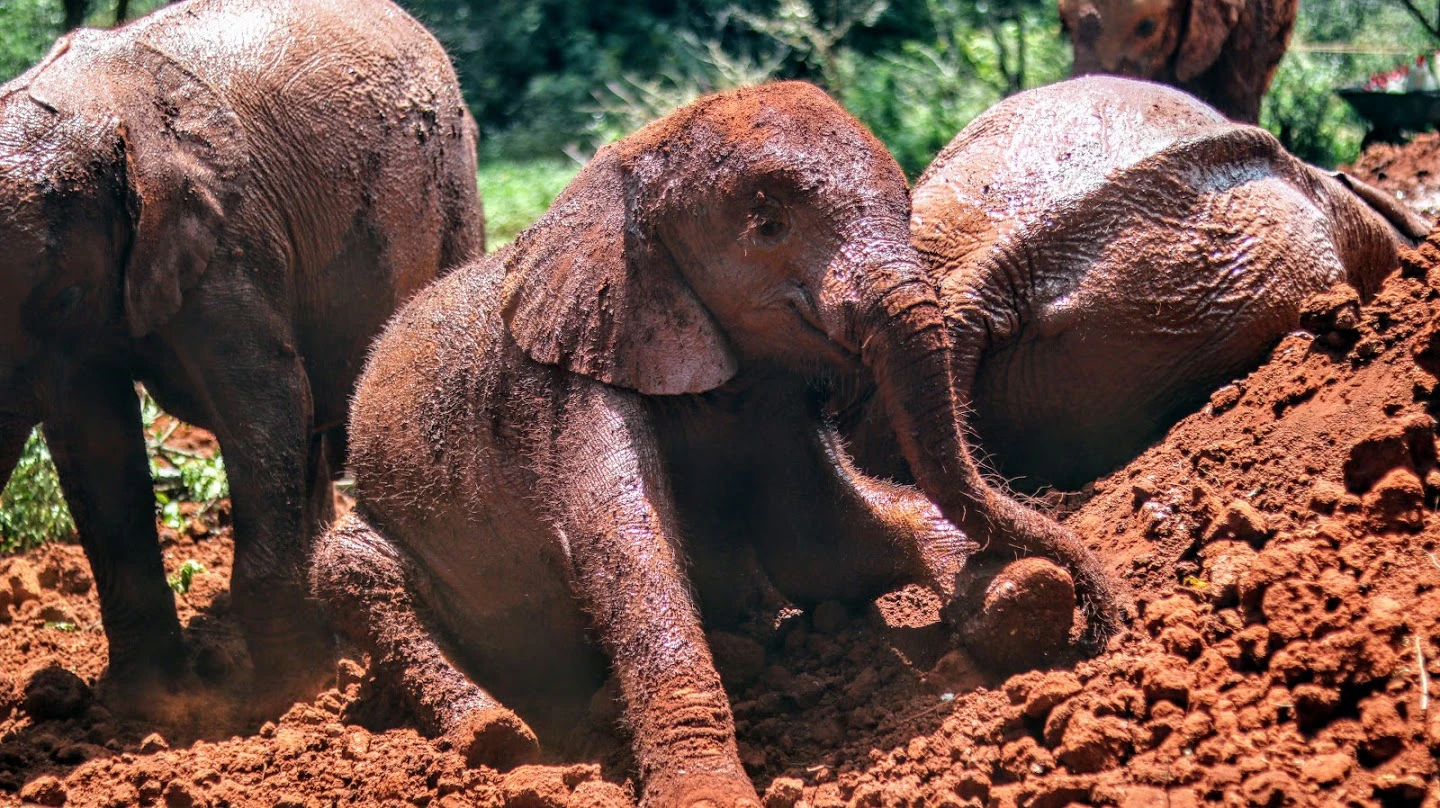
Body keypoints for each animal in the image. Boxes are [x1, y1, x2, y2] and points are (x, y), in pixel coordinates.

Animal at [0, 0, 483, 710]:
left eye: (62, 298)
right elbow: (94, 445)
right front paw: (149, 708)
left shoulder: (231, 238)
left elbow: (266, 402)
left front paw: (292, 694)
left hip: (455, 190)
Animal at [307, 82, 1128, 806]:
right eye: (767, 225)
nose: (1107, 620)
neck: (623, 167)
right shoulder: (566, 391)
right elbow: (632, 561)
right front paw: (706, 795)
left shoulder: (772, 399)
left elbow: (818, 550)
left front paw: (1025, 601)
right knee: (351, 572)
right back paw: (495, 736)